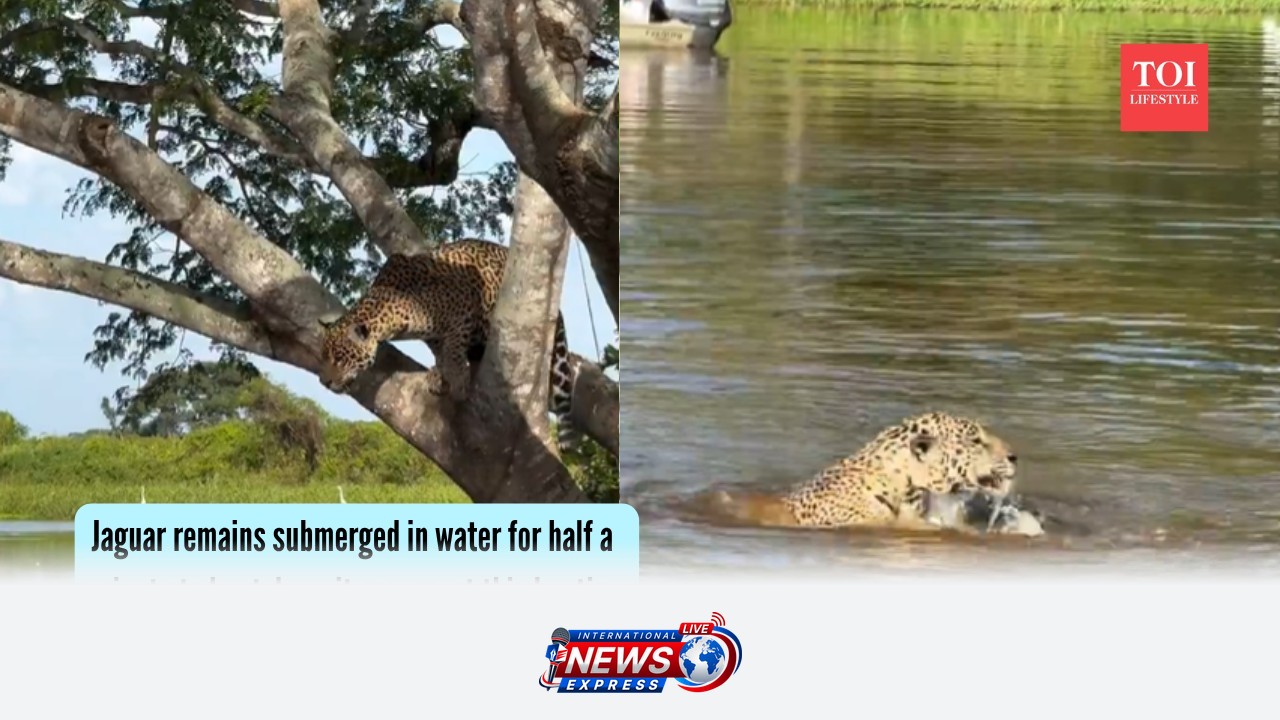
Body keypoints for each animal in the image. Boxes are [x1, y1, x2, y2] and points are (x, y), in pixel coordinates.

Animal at [315, 238, 580, 453]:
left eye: (339, 358)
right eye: (324, 357)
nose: (324, 382)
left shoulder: (463, 308)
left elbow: (453, 349)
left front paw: (458, 381)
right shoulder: (433, 334)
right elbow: (439, 352)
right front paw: (439, 374)